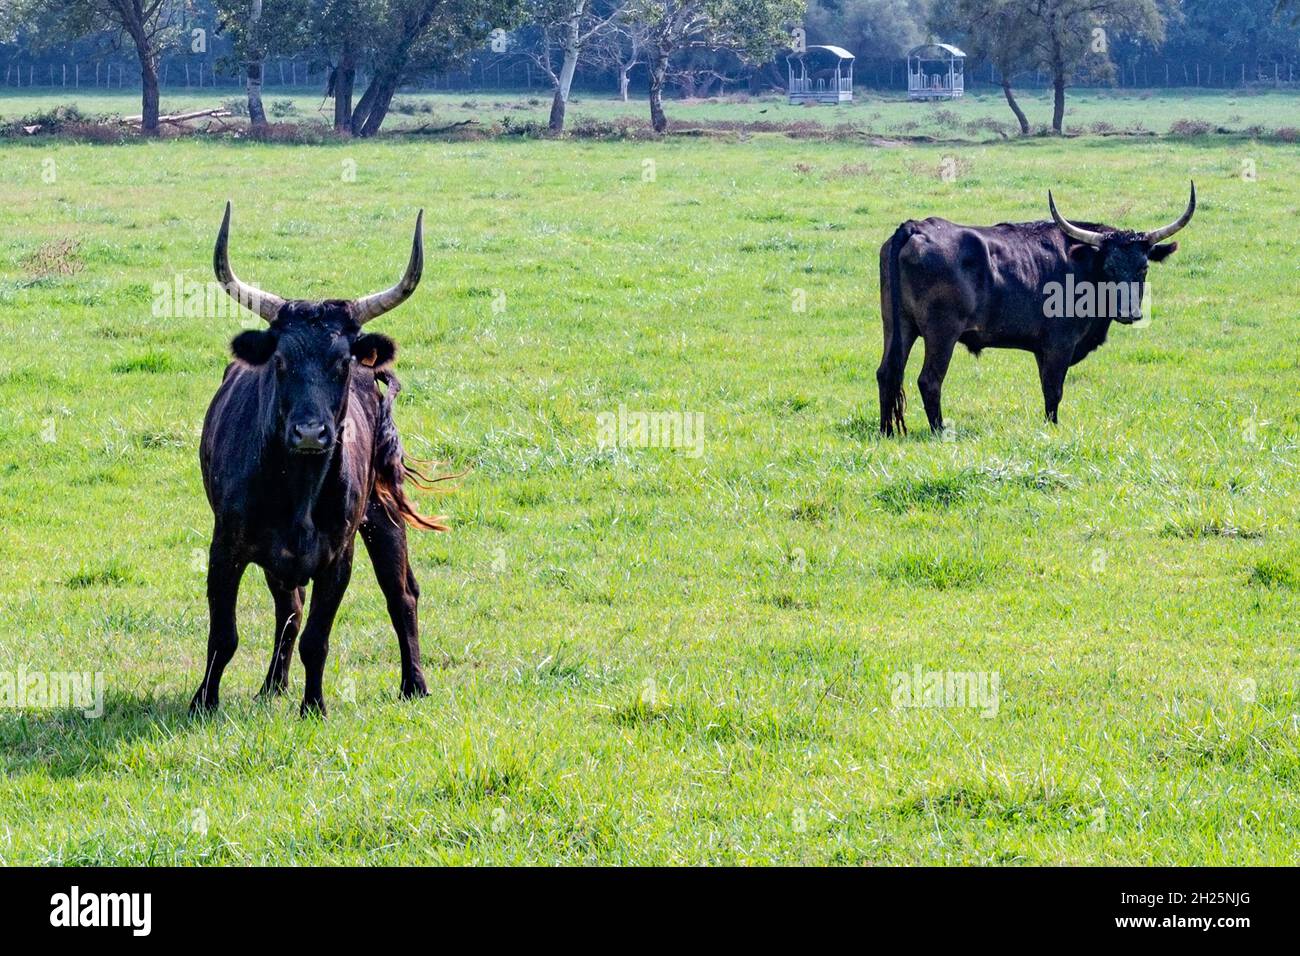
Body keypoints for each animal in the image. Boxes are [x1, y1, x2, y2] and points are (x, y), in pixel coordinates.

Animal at [190, 202, 449, 717]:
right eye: (281, 361)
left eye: (341, 362)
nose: (310, 432)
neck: (299, 489)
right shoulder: (225, 547)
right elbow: (224, 635)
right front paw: (203, 701)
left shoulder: (337, 558)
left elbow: (317, 639)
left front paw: (314, 706)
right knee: (289, 607)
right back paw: (272, 685)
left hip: (383, 512)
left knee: (402, 593)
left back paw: (414, 683)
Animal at [877, 182, 1196, 435]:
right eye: (1109, 268)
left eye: (1143, 268)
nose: (1130, 313)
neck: (1081, 263)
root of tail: (914, 227)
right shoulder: (1059, 345)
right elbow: (1053, 390)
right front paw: (1052, 427)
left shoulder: (1042, 350)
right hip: (942, 334)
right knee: (929, 380)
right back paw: (939, 430)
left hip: (897, 327)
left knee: (887, 373)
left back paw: (887, 431)